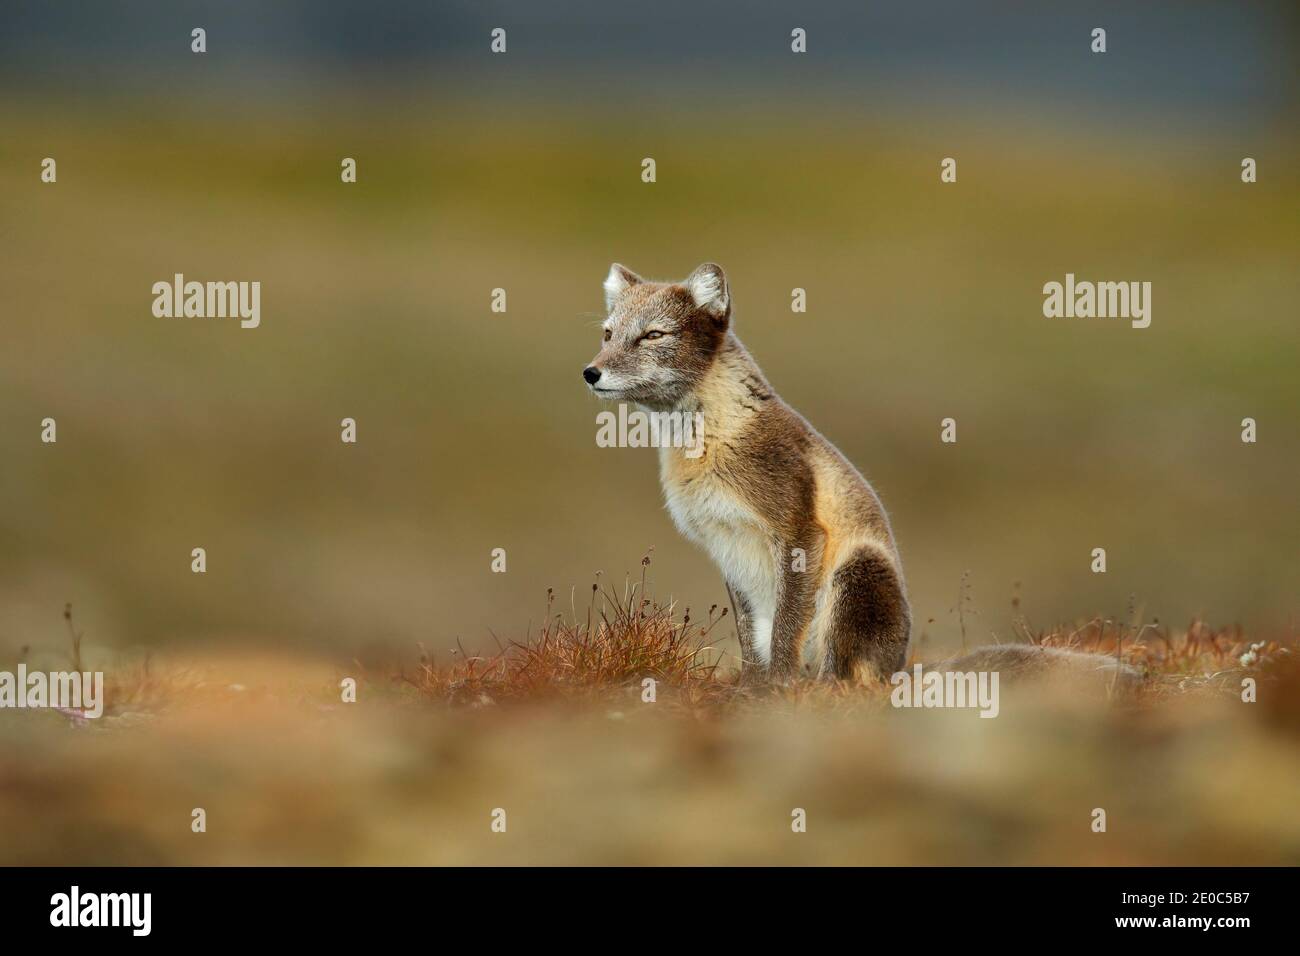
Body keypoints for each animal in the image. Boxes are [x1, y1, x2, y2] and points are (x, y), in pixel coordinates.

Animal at [584, 261, 1144, 690]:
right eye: (608, 334)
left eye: (653, 335)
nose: (590, 372)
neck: (707, 440)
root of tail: (900, 667)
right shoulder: (728, 548)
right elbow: (751, 638)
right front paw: (749, 688)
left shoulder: (797, 531)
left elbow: (785, 630)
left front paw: (774, 691)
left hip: (856, 573)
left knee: (842, 679)